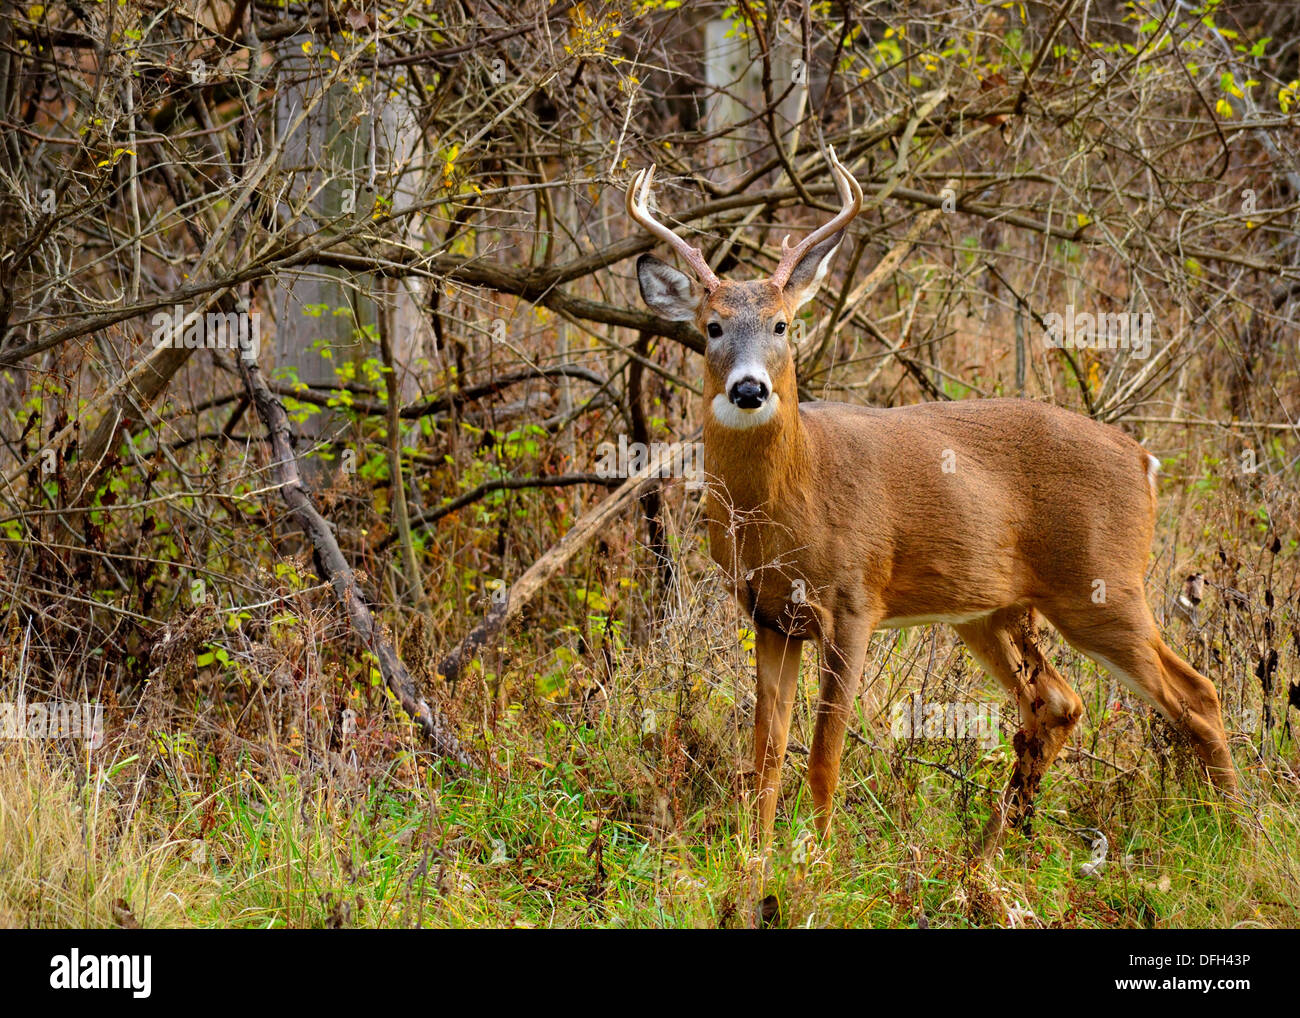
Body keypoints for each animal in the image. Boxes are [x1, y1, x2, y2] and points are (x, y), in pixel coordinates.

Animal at [625, 148, 1238, 852]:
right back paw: (986, 853)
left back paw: (1237, 830)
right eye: (712, 327)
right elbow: (767, 752)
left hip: (1103, 583)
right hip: (993, 608)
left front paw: (817, 857)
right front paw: (757, 855)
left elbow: (824, 754)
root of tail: (1143, 460)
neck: (792, 497)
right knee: (1058, 701)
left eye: (783, 324)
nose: (749, 389)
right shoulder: (769, 614)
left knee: (1198, 694)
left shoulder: (854, 599)